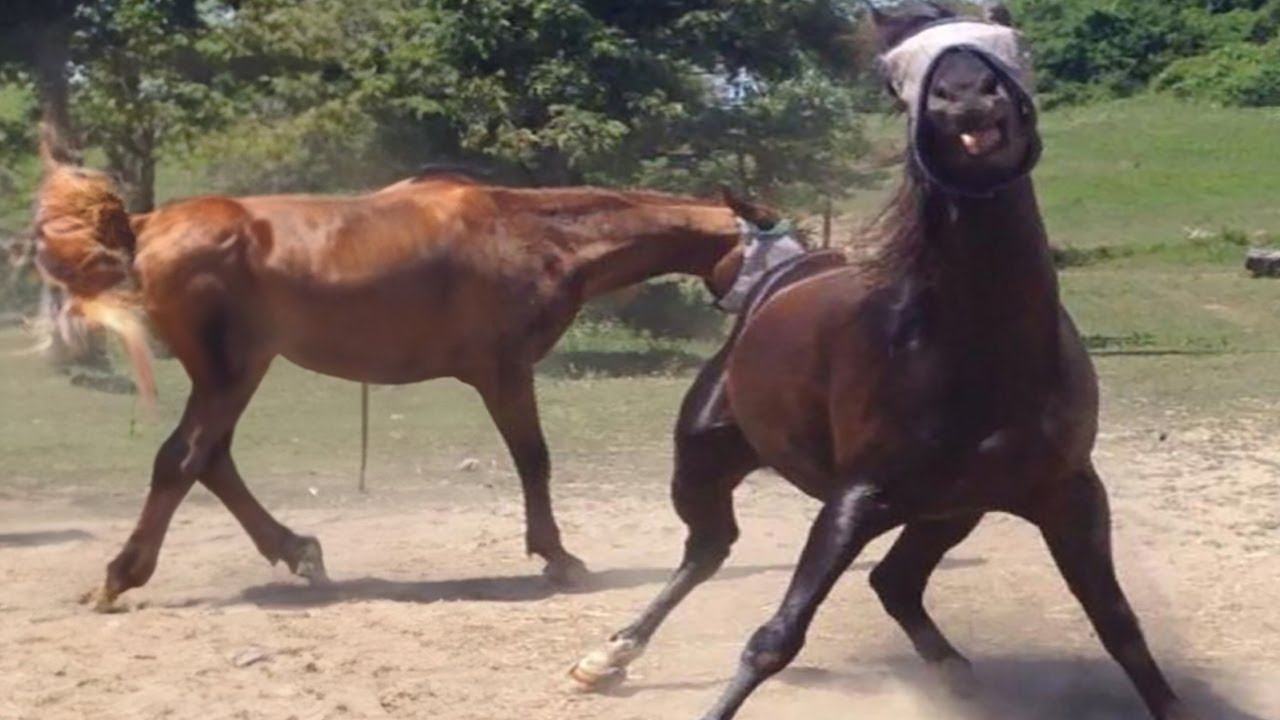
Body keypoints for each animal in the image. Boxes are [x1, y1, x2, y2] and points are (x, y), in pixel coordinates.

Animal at [31, 127, 795, 612]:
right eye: (780, 244)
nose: (784, 304)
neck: (533, 234)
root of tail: (145, 226)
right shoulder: (505, 372)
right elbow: (534, 461)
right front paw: (559, 559)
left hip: (235, 374)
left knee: (210, 461)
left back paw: (298, 552)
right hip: (231, 373)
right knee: (184, 459)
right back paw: (121, 578)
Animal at [570, 4, 1198, 720]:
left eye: (1011, 39)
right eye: (894, 76)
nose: (966, 98)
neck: (987, 358)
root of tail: (787, 275)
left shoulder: (1069, 494)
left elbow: (1118, 623)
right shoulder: (857, 500)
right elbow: (775, 638)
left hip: (949, 513)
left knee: (893, 582)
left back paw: (956, 672)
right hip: (705, 466)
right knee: (707, 552)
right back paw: (610, 655)